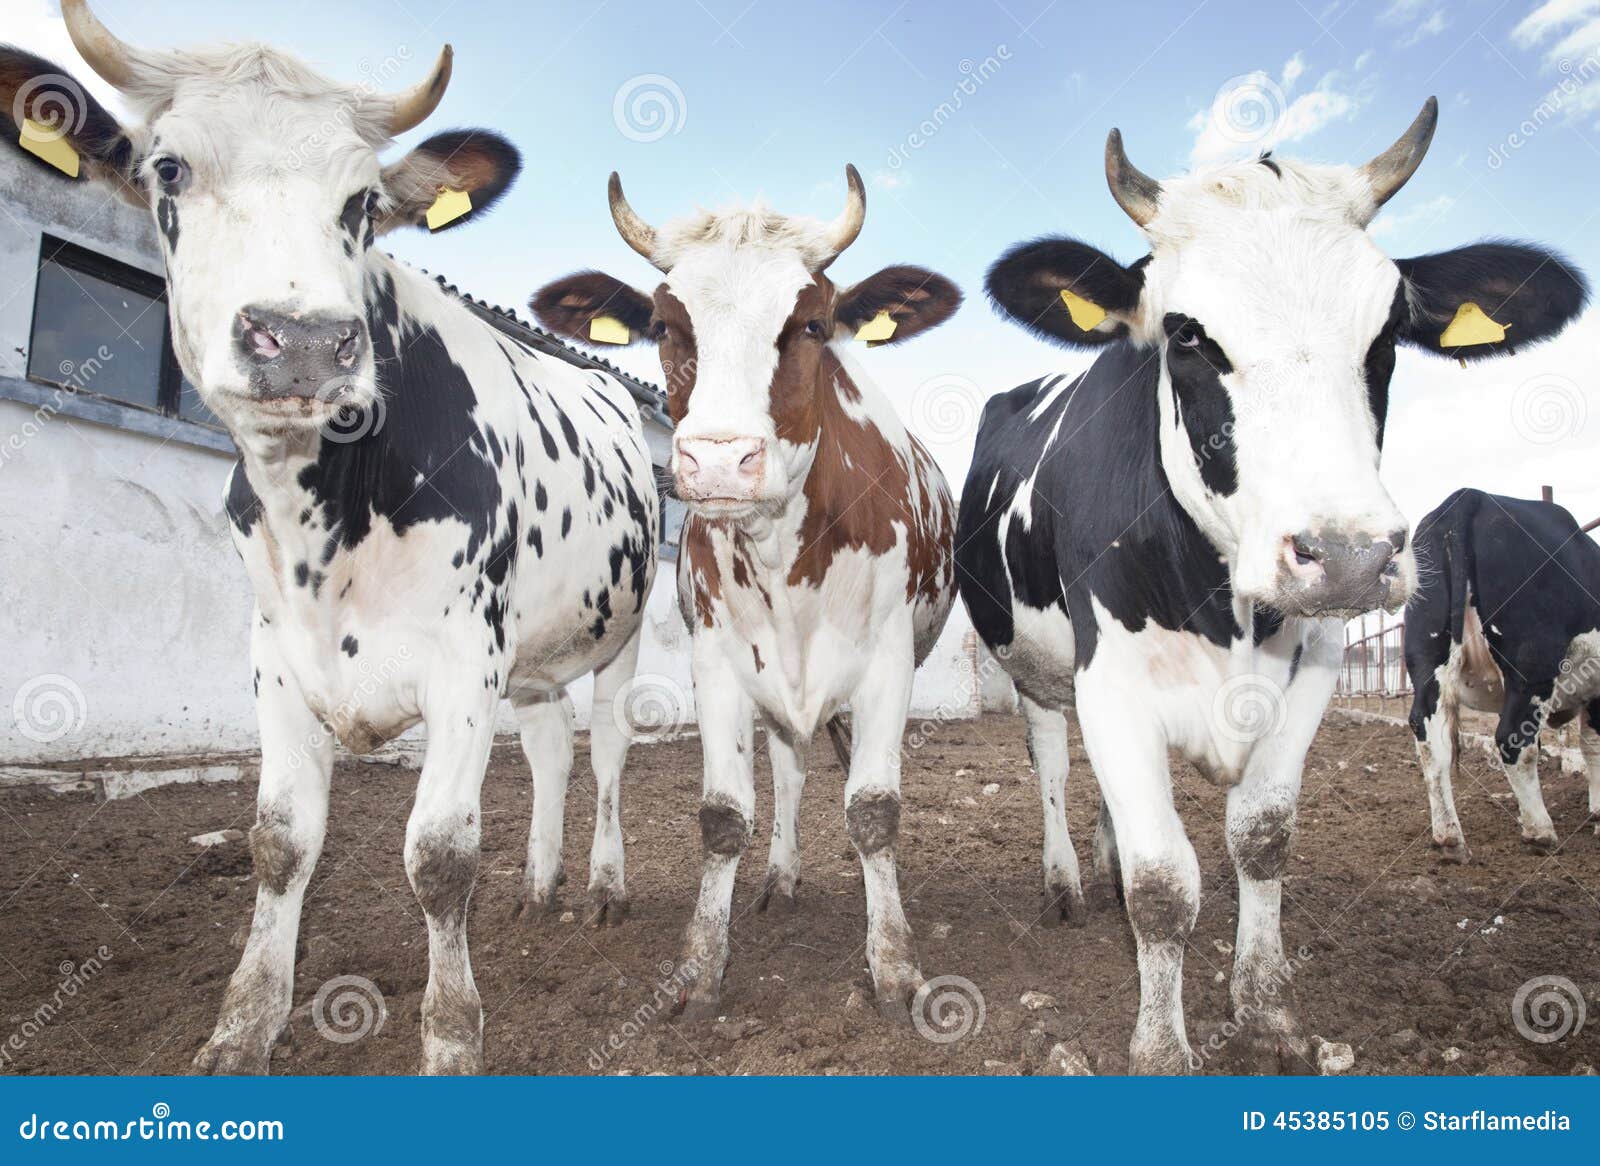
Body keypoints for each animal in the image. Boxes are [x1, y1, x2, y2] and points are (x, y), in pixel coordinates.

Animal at [0, 2, 659, 1073]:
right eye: (168, 168)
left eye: (362, 202)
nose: (304, 340)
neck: (325, 518)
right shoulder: (276, 655)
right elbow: (278, 841)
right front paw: (244, 1024)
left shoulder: (464, 657)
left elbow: (439, 853)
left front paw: (452, 1035)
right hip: (535, 650)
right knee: (551, 751)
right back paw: (538, 886)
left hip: (621, 630)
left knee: (602, 754)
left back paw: (601, 888)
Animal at [531, 167, 961, 1020]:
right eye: (664, 325)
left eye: (813, 323)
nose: (721, 462)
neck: (783, 551)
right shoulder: (720, 664)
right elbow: (724, 817)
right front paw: (699, 968)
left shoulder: (889, 663)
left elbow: (874, 810)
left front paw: (895, 965)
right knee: (790, 769)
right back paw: (782, 877)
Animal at [1405, 489, 1600, 859]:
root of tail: (1470, 497)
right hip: (1533, 667)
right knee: (1513, 739)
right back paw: (1540, 831)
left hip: (1427, 658)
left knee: (1430, 738)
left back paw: (1448, 836)